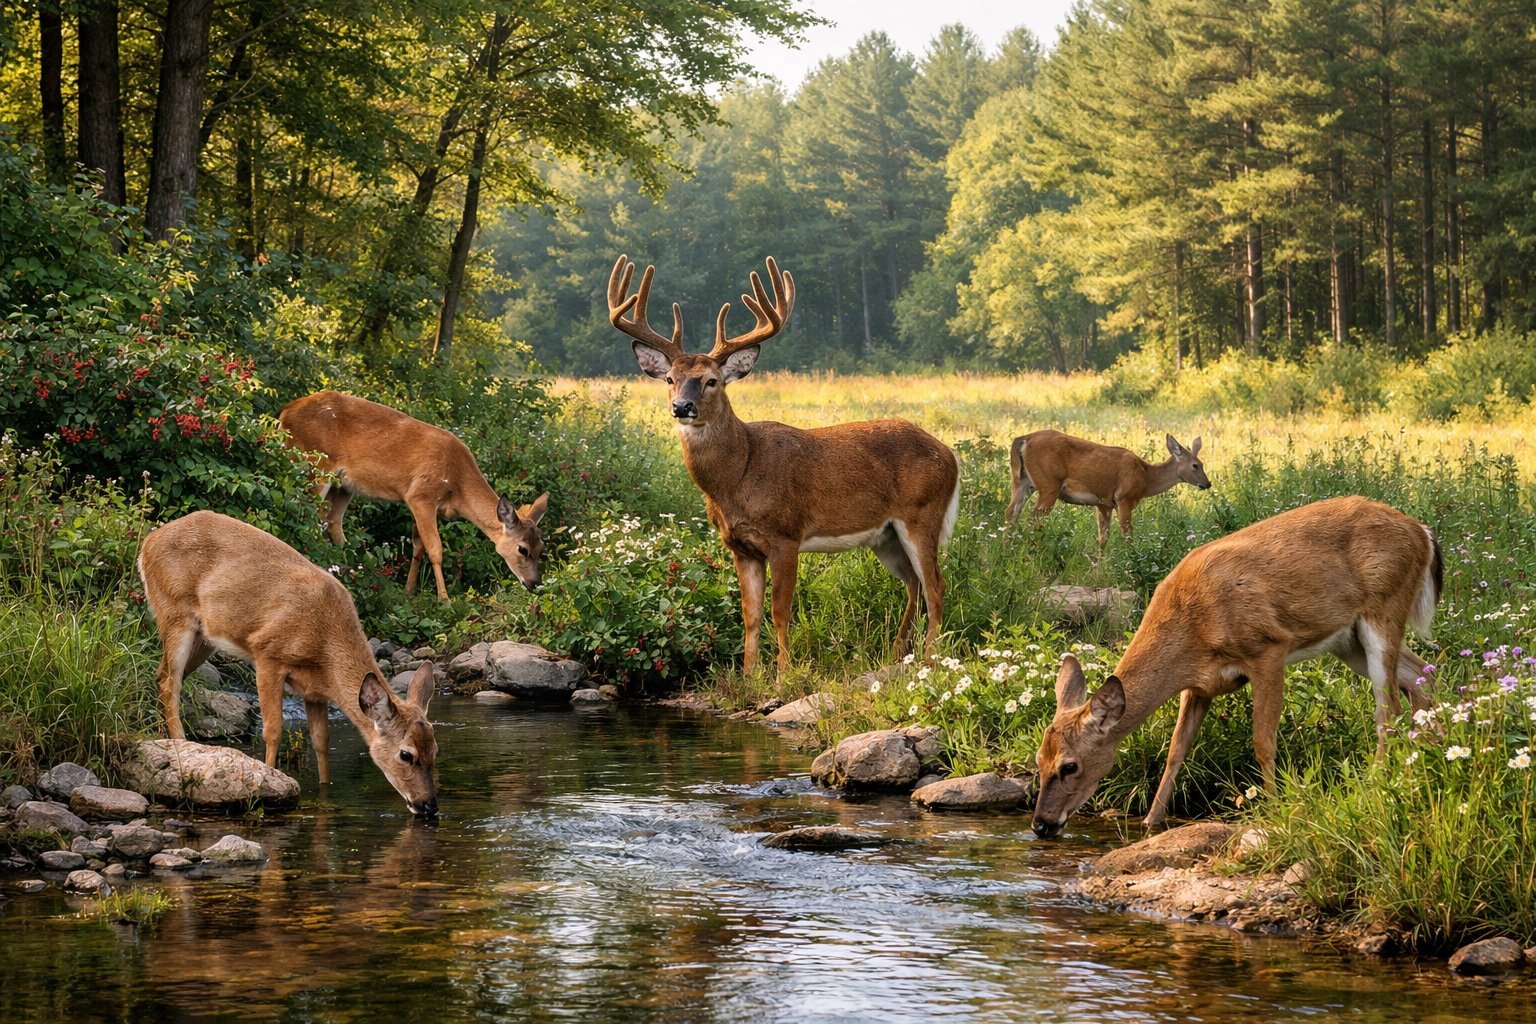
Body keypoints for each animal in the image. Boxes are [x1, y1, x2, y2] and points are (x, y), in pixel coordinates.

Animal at [138, 510, 439, 816]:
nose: (429, 806)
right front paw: (268, 780)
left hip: (206, 636)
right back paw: (181, 745)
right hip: (175, 611)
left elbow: (321, 742)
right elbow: (273, 731)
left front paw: (324, 791)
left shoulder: (315, 692)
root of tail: (148, 542)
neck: (324, 644)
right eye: (406, 754)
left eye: (435, 751)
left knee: (162, 676)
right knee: (170, 681)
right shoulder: (267, 653)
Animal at [278, 390, 548, 600]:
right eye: (522, 549)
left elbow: (418, 547)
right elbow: (435, 549)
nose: (535, 584)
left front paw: (408, 591)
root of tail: (284, 414)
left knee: (331, 520)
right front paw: (444, 600)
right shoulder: (420, 495)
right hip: (313, 463)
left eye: (541, 547)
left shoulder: (422, 504)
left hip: (344, 485)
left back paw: (353, 570)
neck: (457, 486)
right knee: (306, 513)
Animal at [608, 254, 960, 677]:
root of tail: (951, 455)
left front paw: (783, 675)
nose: (682, 407)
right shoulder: (739, 545)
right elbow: (750, 614)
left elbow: (780, 612)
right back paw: (897, 653)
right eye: (670, 379)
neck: (738, 476)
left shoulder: (786, 535)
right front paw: (748, 676)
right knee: (914, 584)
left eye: (712, 381)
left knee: (937, 585)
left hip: (922, 515)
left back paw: (930, 659)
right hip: (885, 535)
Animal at [1006, 430, 1211, 549]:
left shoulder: (1103, 503)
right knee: (1033, 517)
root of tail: (1023, 440)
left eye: (1201, 464)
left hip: (1021, 481)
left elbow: (1102, 539)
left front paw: (1097, 567)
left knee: (1011, 512)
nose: (1207, 484)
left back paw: (1007, 548)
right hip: (1049, 484)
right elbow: (1127, 535)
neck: (1145, 477)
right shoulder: (1123, 498)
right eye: (1196, 465)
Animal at [1030, 496, 1441, 837]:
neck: (1192, 631)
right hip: (1347, 640)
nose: (1041, 825)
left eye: (1069, 766)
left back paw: (1379, 782)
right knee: (1421, 675)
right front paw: (1150, 822)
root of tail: (1423, 532)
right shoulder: (1199, 686)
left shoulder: (1268, 648)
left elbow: (1263, 741)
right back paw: (1431, 758)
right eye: (1038, 759)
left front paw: (1276, 812)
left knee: (1387, 709)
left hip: (1384, 607)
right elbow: (1176, 749)